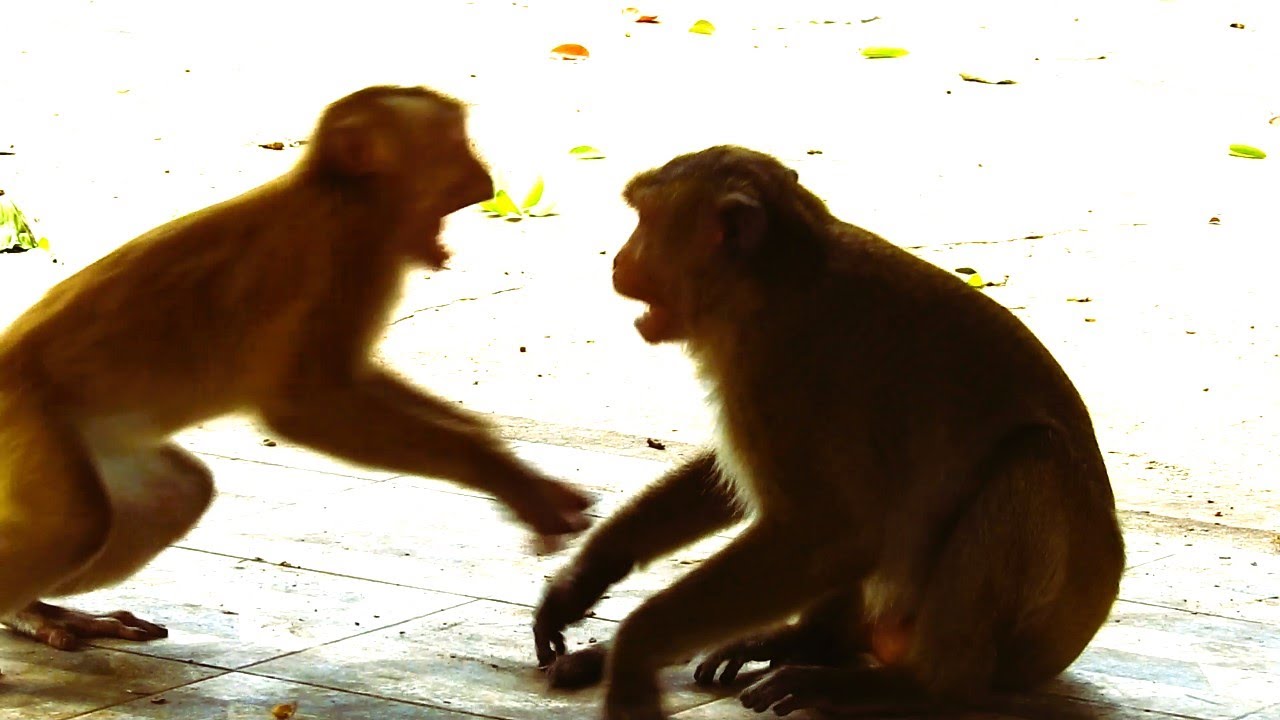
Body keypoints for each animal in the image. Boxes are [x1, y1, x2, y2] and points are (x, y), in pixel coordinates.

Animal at [0, 85, 592, 658]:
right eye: (455, 144)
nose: (484, 177)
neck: (342, 194)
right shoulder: (345, 253)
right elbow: (302, 407)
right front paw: (501, 474)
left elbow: (353, 380)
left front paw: (513, 466)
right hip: (22, 415)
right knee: (78, 524)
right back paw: (29, 610)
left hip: (96, 438)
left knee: (177, 495)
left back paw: (31, 611)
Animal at [532, 145, 1125, 719]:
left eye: (645, 221)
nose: (618, 259)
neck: (774, 283)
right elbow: (735, 484)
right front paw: (587, 575)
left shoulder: (781, 369)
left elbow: (834, 532)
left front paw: (637, 647)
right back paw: (803, 640)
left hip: (1033, 640)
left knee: (1033, 459)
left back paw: (919, 686)